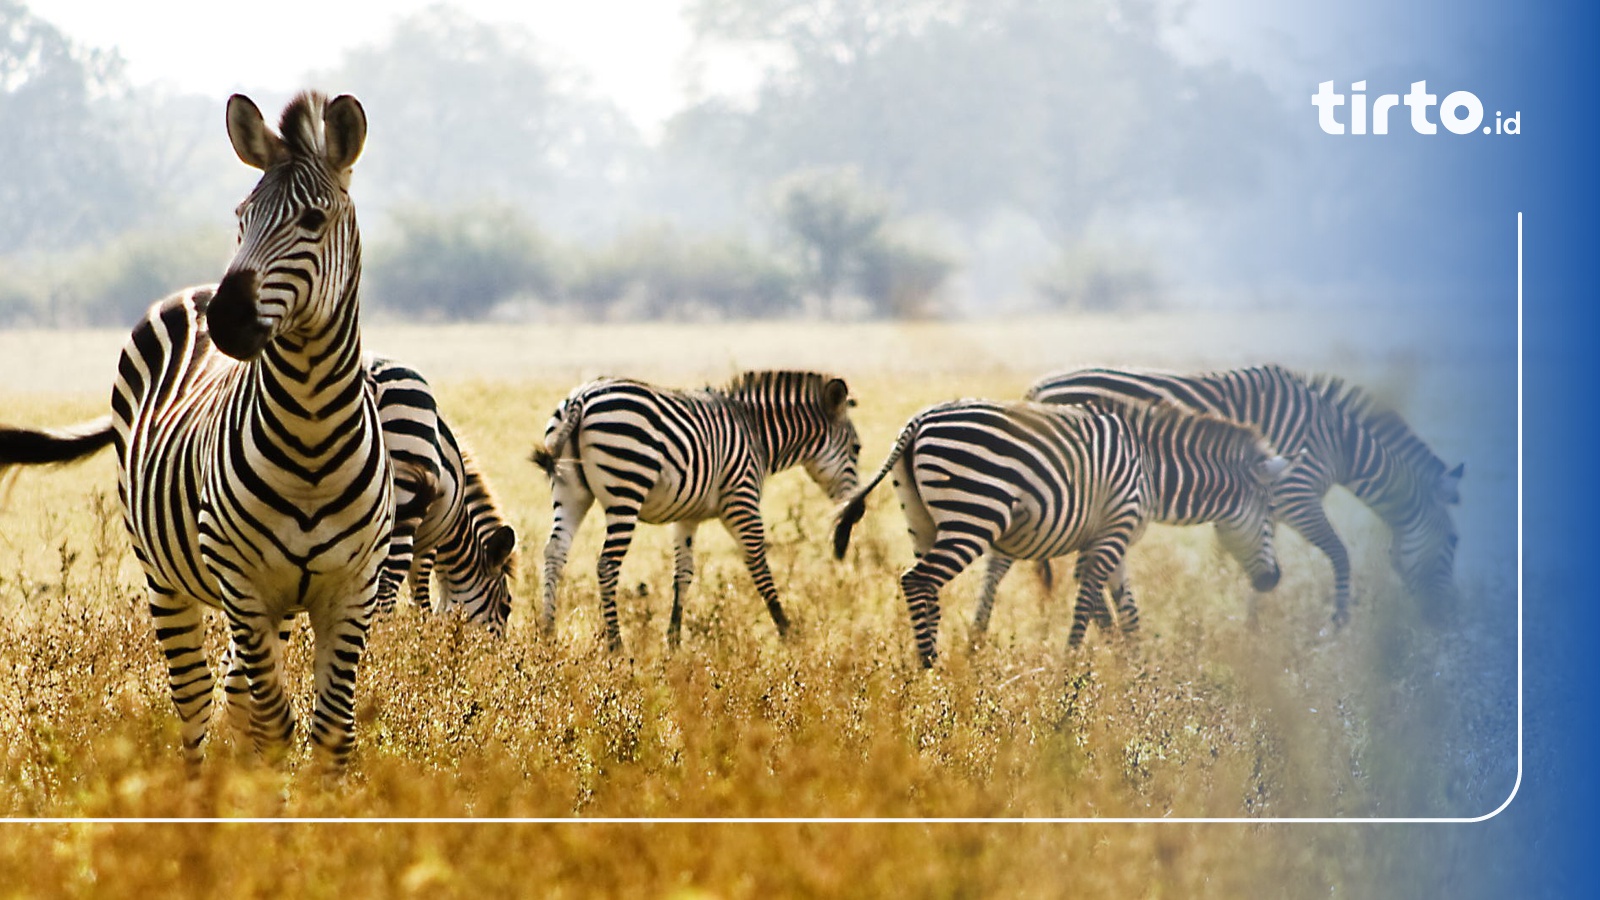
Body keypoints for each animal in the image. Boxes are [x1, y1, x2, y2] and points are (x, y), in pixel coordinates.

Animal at [0, 93, 389, 767]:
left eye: (314, 219)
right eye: (241, 216)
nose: (226, 319)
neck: (311, 432)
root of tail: (195, 289)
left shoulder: (353, 589)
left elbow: (331, 731)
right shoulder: (241, 581)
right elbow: (274, 723)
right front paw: (264, 795)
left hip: (272, 605)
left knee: (233, 695)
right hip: (166, 577)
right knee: (196, 698)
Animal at [530, 371, 860, 651]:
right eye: (857, 449)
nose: (857, 512)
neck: (757, 433)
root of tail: (581, 397)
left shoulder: (686, 516)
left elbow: (683, 574)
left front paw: (674, 642)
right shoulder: (741, 498)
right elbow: (759, 564)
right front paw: (787, 632)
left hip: (570, 491)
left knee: (555, 552)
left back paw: (548, 633)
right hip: (627, 488)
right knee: (607, 565)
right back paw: (616, 645)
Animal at [832, 399, 1286, 667]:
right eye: (1270, 513)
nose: (1273, 580)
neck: (1151, 468)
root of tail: (918, 421)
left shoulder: (1111, 534)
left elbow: (1127, 610)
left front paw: (1134, 673)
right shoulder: (1112, 532)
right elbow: (1089, 602)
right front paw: (1071, 672)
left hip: (921, 521)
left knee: (927, 589)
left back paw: (928, 671)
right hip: (975, 516)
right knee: (917, 580)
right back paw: (930, 667)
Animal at [1027, 365, 1463, 627]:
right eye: (1455, 541)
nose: (1446, 621)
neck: (1339, 443)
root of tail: (1037, 388)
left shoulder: (1264, 501)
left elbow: (1255, 556)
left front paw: (1251, 627)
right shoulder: (1297, 494)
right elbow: (1339, 554)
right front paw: (1338, 624)